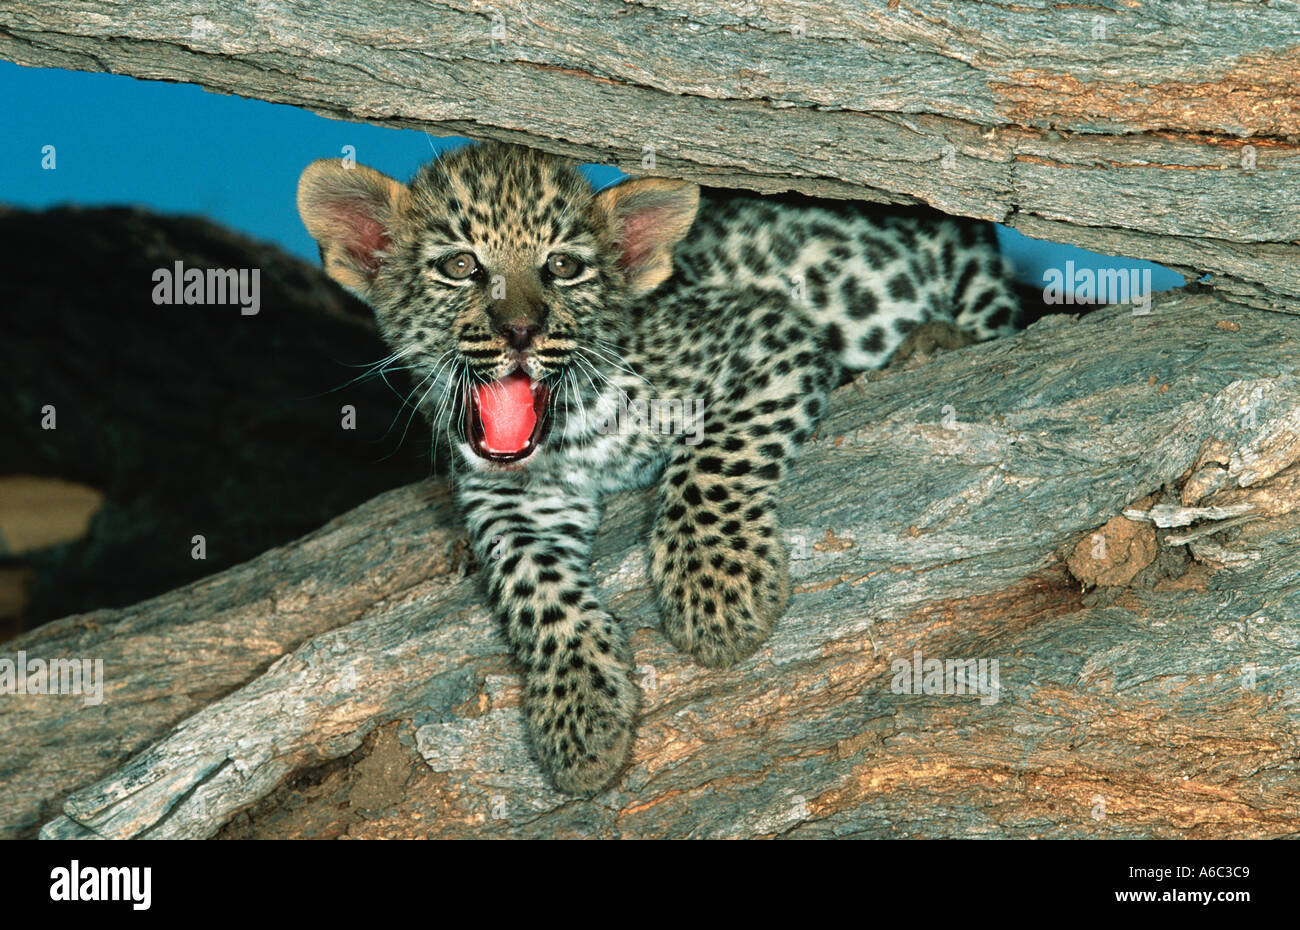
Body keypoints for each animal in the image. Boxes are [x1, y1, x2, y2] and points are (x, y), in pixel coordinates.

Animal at [297, 141, 1022, 794]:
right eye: (459, 266)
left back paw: (932, 342)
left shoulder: (765, 332)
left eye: (563, 266)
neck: (573, 432)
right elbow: (529, 580)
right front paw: (578, 709)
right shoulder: (508, 495)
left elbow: (712, 460)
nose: (521, 330)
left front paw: (717, 592)